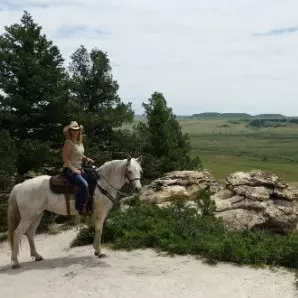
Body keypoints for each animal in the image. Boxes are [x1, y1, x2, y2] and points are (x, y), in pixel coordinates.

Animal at [7, 157, 142, 268]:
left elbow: (96, 229)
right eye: (129, 171)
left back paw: (37, 256)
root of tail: (19, 186)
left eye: (140, 171)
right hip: (27, 217)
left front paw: (96, 249)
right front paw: (99, 251)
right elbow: (99, 230)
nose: (138, 189)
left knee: (30, 233)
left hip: (37, 215)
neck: (102, 185)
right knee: (17, 233)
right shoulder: (100, 213)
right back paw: (15, 262)